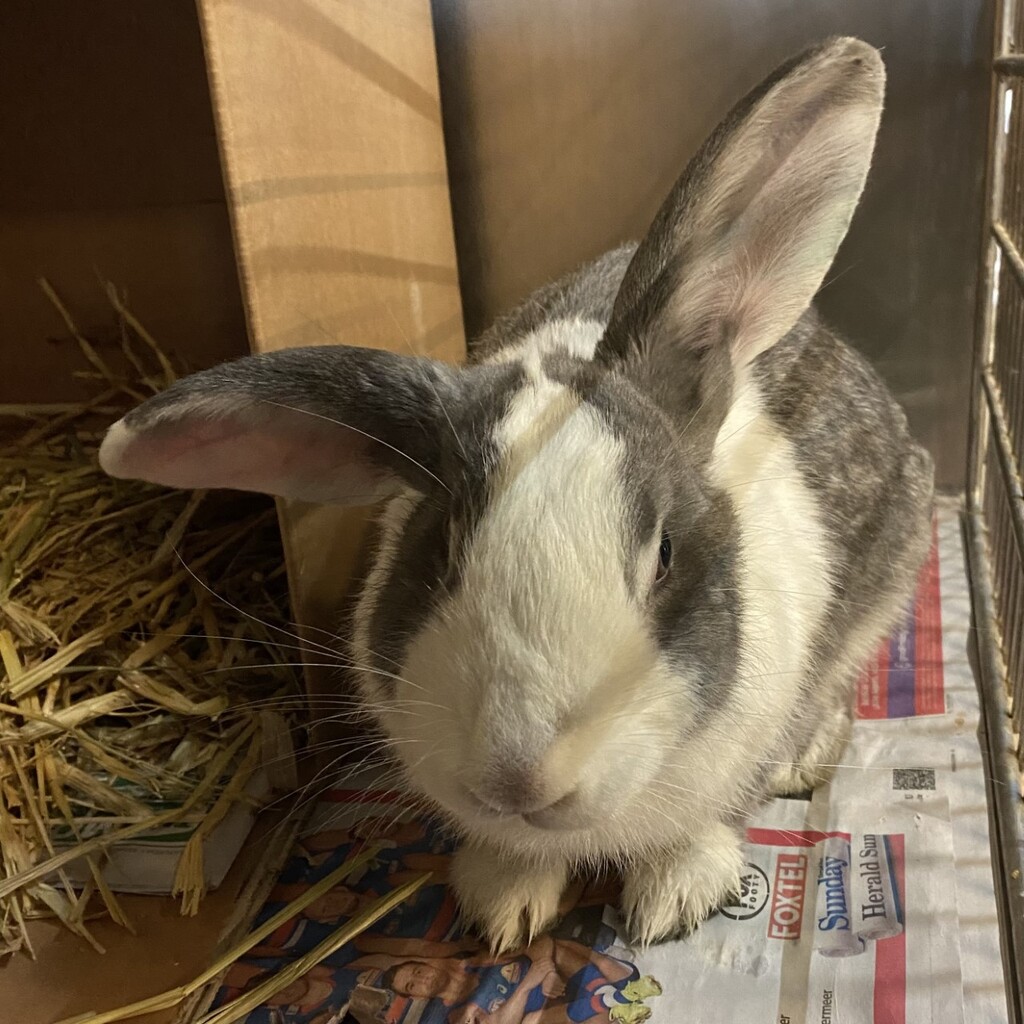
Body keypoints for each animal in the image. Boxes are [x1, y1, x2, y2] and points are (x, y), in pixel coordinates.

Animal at [99, 36, 934, 951]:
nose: (520, 777)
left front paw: (674, 899)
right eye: (440, 550)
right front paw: (499, 906)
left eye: (664, 556)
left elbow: (706, 823)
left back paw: (802, 760)